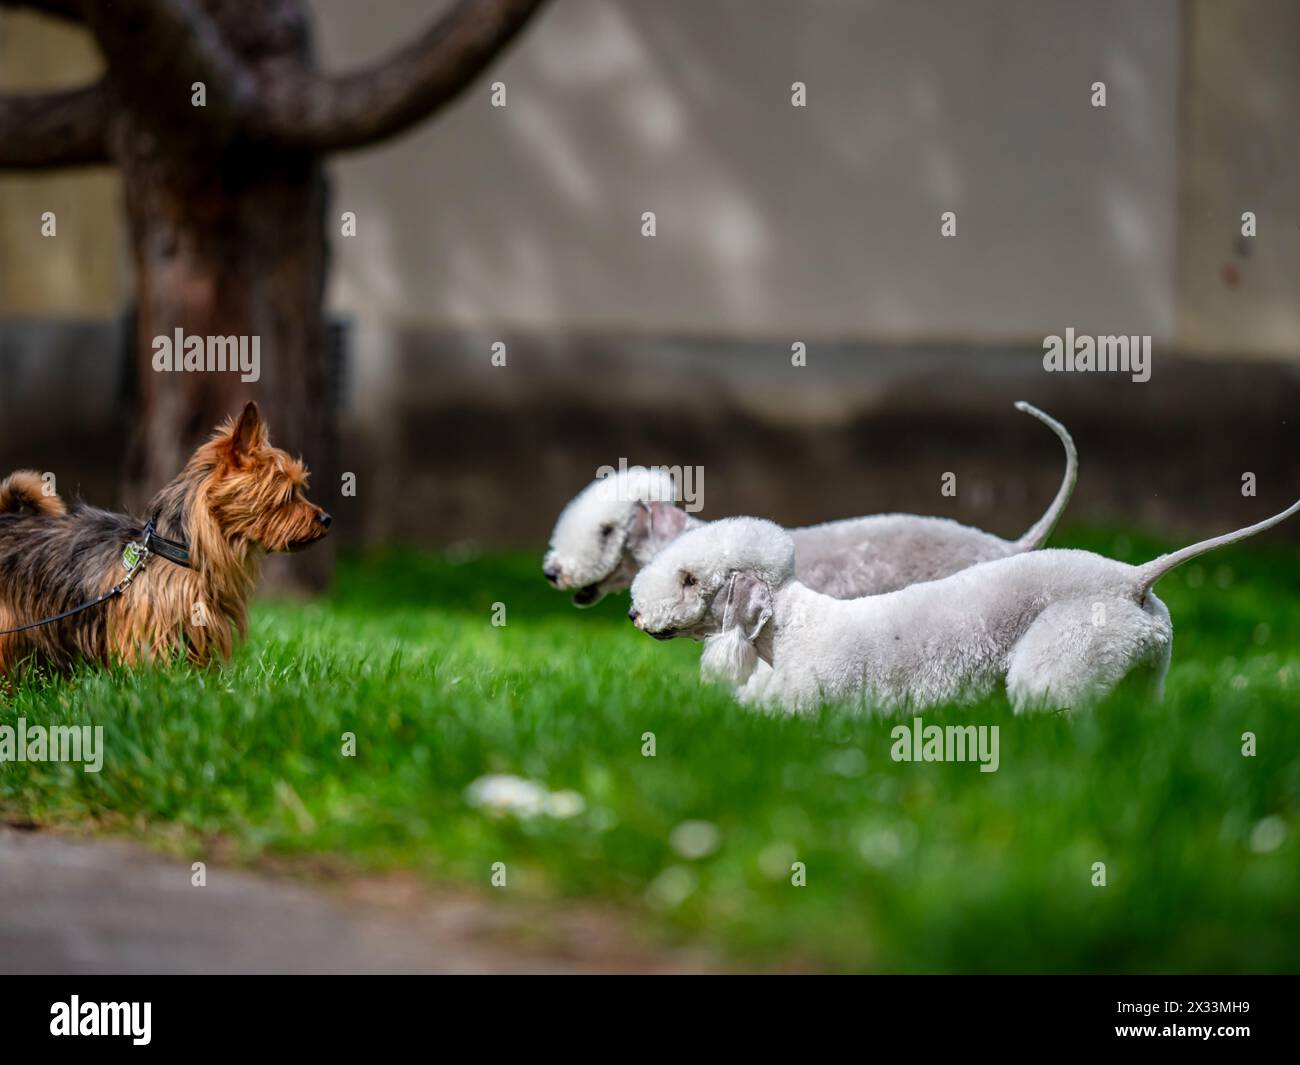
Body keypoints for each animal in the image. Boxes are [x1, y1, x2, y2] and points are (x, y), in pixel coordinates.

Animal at [627, 498, 1300, 714]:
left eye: (689, 577)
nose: (634, 615)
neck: (792, 629)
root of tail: (1133, 577)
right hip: (1140, 670)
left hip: (1063, 655)